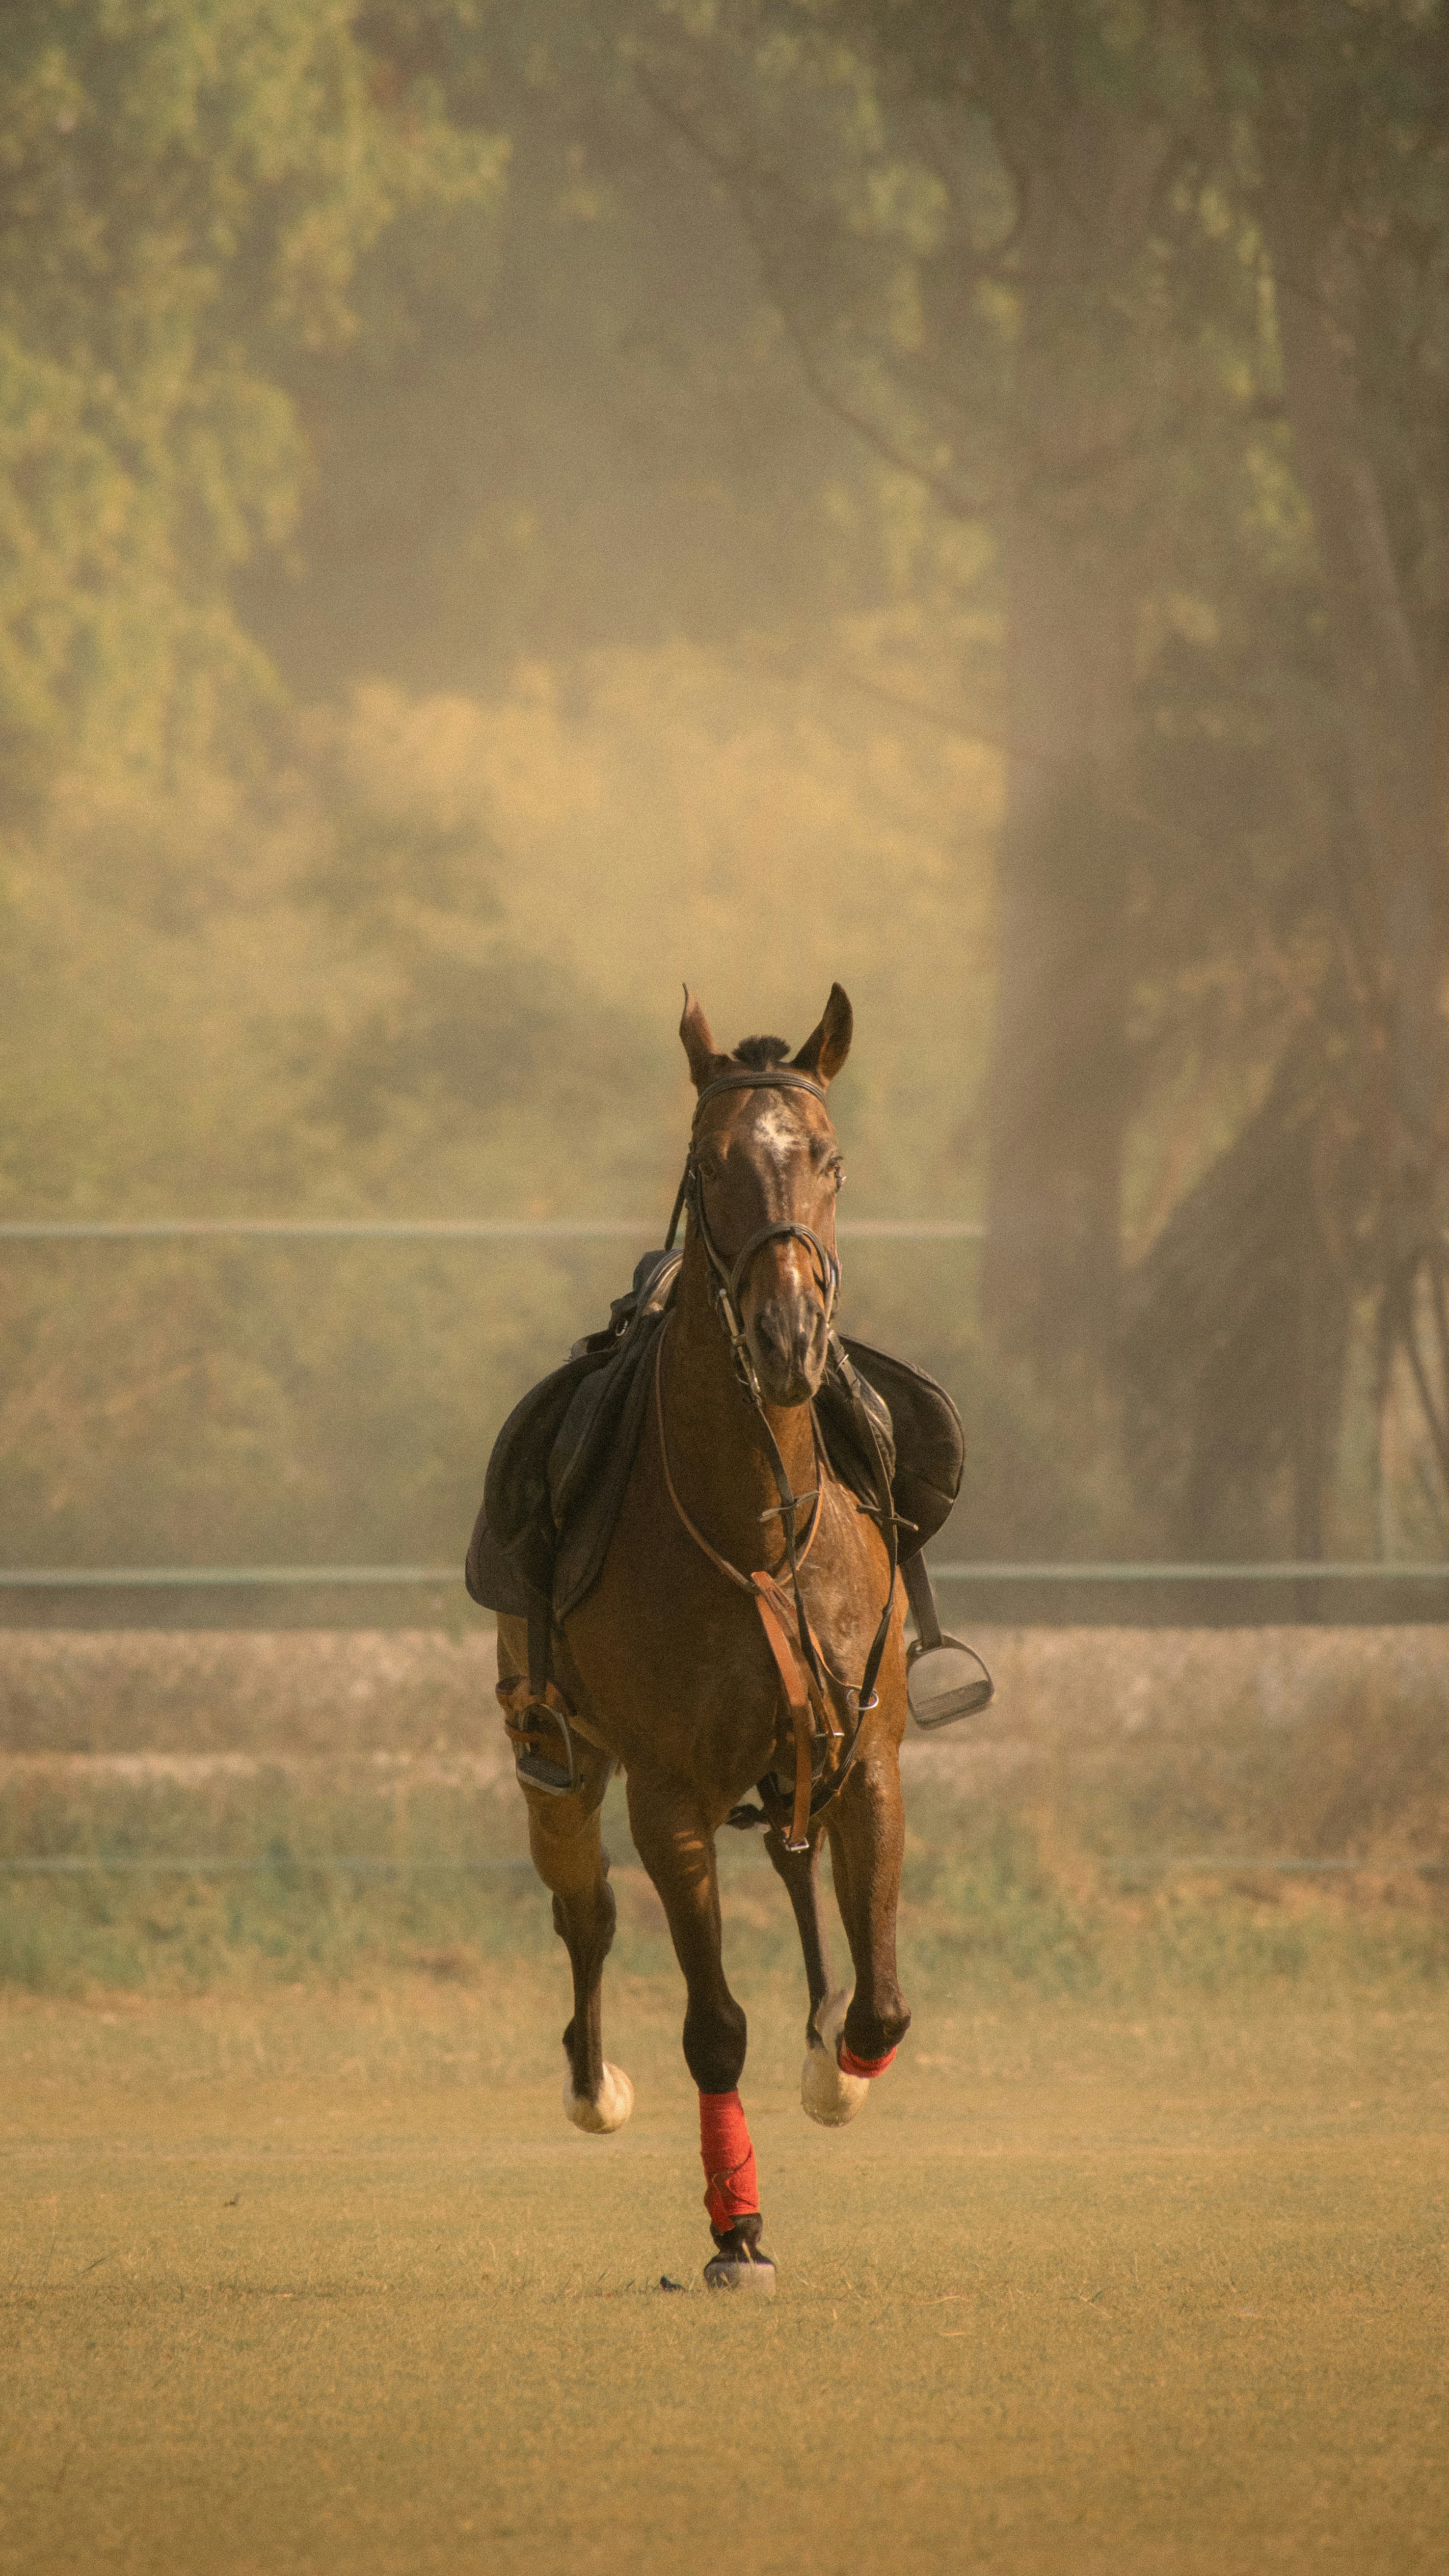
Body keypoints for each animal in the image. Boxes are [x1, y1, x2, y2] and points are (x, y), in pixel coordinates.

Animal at [494, 982, 910, 2290]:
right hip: (558, 1758)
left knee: (794, 1870)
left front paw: (836, 2069)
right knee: (585, 1912)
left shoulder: (866, 1756)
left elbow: (882, 2004)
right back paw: (592, 2086)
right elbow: (712, 2024)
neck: (753, 1526)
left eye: (828, 1157)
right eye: (708, 1160)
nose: (785, 1339)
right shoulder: (666, 1792)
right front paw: (738, 2229)